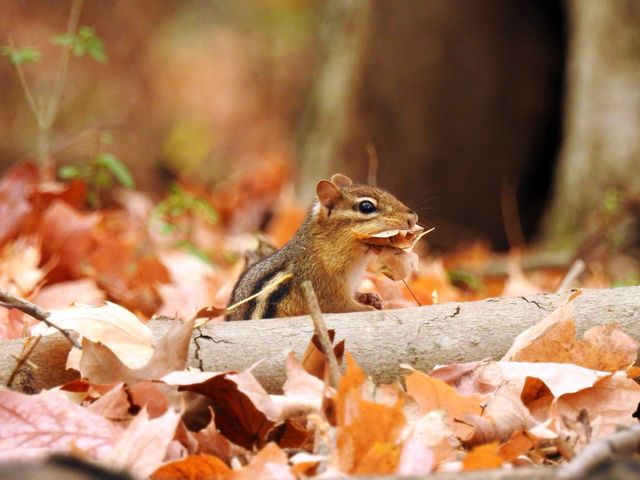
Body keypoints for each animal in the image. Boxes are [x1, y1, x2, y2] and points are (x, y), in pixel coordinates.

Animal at [225, 173, 419, 320]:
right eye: (366, 206)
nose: (413, 217)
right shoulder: (324, 287)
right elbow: (342, 307)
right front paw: (368, 308)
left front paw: (370, 297)